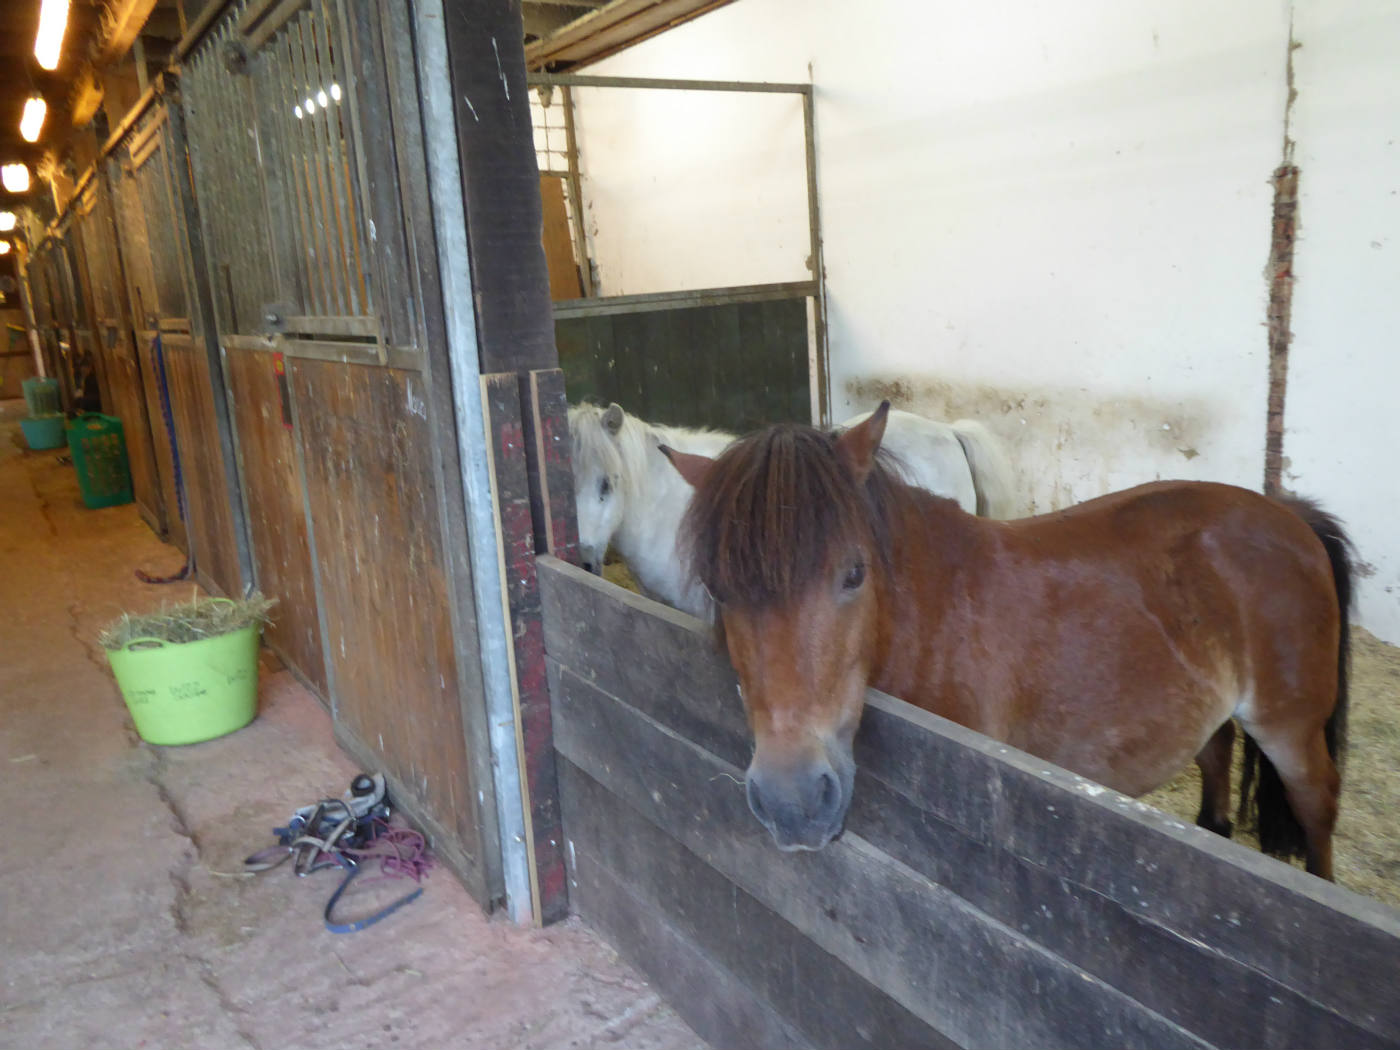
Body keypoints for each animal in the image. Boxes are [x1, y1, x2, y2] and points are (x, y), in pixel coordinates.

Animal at [660, 402, 1353, 880]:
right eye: (719, 588)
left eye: (853, 574)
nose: (794, 802)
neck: (932, 619)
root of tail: (1289, 517)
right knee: (1217, 756)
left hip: (1289, 731)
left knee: (1317, 802)